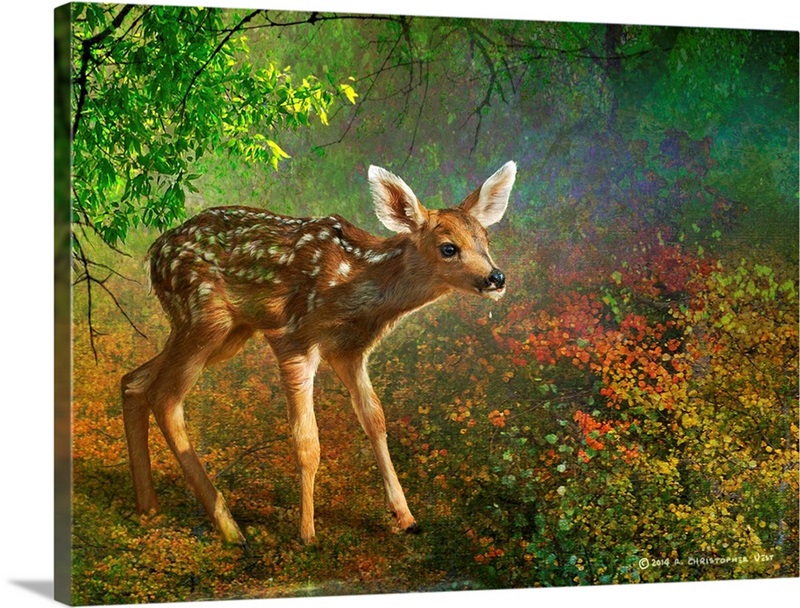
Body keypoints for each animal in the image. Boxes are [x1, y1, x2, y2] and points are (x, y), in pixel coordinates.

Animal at [121, 161, 517, 545]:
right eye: (449, 247)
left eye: (485, 239)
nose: (496, 278)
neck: (353, 289)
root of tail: (153, 254)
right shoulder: (293, 340)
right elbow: (307, 440)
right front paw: (308, 533)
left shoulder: (349, 351)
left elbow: (375, 420)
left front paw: (405, 517)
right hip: (203, 316)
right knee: (166, 397)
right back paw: (230, 528)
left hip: (228, 332)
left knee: (134, 381)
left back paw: (148, 507)